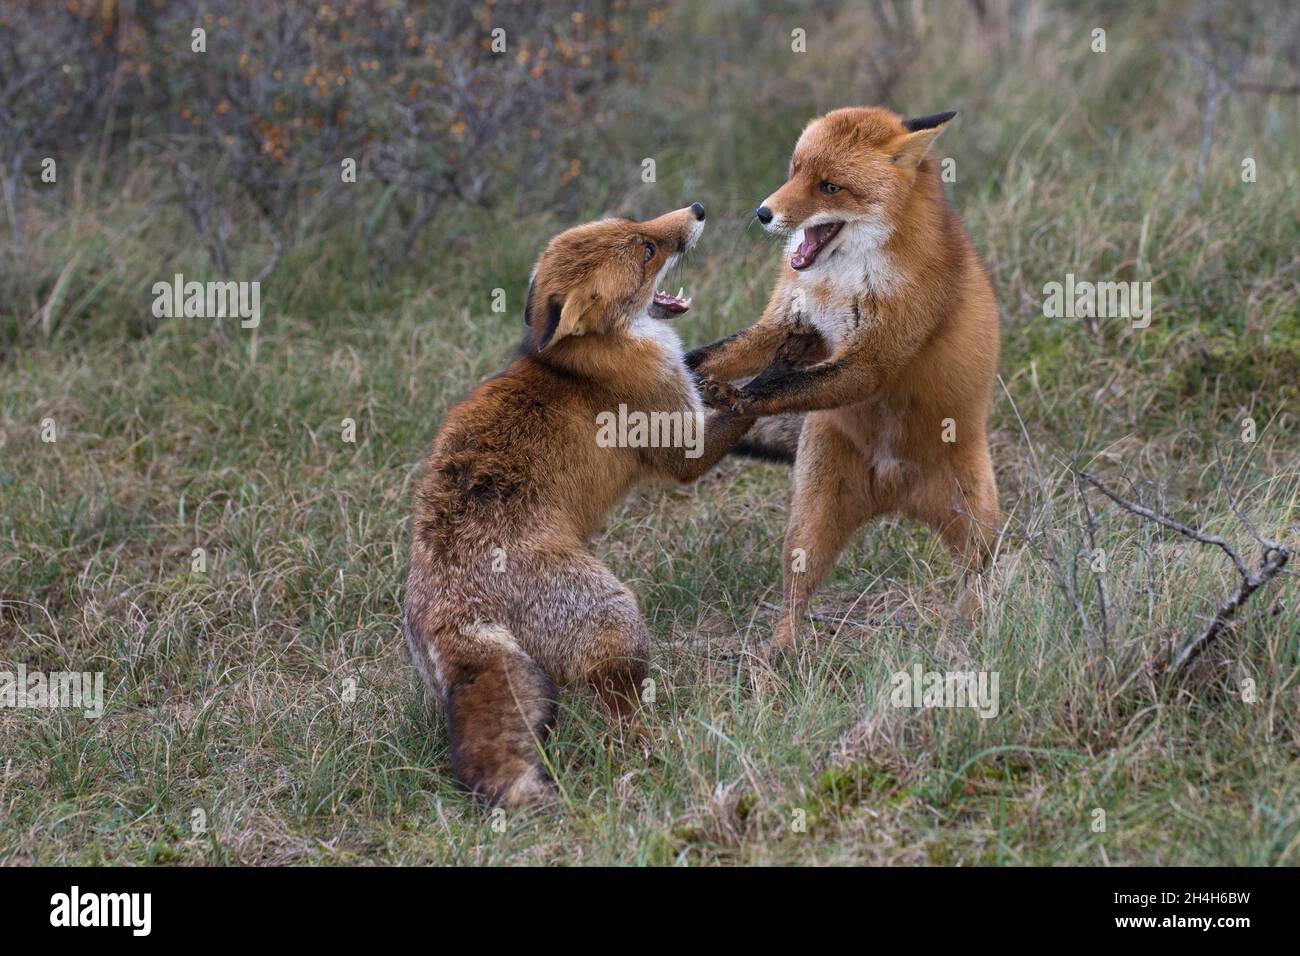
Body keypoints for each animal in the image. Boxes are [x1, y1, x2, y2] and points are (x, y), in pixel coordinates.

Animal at [402, 204, 804, 807]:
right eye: (647, 250)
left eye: (637, 224)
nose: (697, 210)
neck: (589, 360)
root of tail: (448, 603)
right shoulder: (681, 450)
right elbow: (747, 402)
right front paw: (787, 363)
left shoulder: (687, 397)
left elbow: (726, 385)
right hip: (618, 622)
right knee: (620, 714)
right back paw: (655, 749)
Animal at [686, 107, 1002, 655]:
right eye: (794, 171)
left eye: (830, 187)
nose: (763, 213)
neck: (840, 284)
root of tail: (895, 497)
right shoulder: (785, 322)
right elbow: (717, 355)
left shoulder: (870, 363)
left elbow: (777, 390)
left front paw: (738, 396)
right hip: (808, 527)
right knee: (794, 597)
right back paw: (780, 657)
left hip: (978, 523)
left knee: (973, 579)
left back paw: (977, 629)